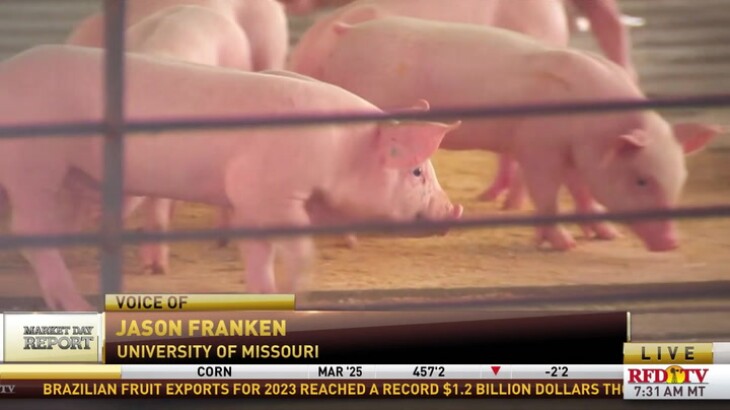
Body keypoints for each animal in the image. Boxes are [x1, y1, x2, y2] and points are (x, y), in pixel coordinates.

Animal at [0, 44, 462, 311]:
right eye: (417, 171)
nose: (453, 210)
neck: (341, 149)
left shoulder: (249, 203)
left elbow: (258, 255)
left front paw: (270, 298)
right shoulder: (268, 192)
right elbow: (298, 248)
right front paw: (304, 298)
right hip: (35, 165)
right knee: (29, 231)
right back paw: (77, 305)